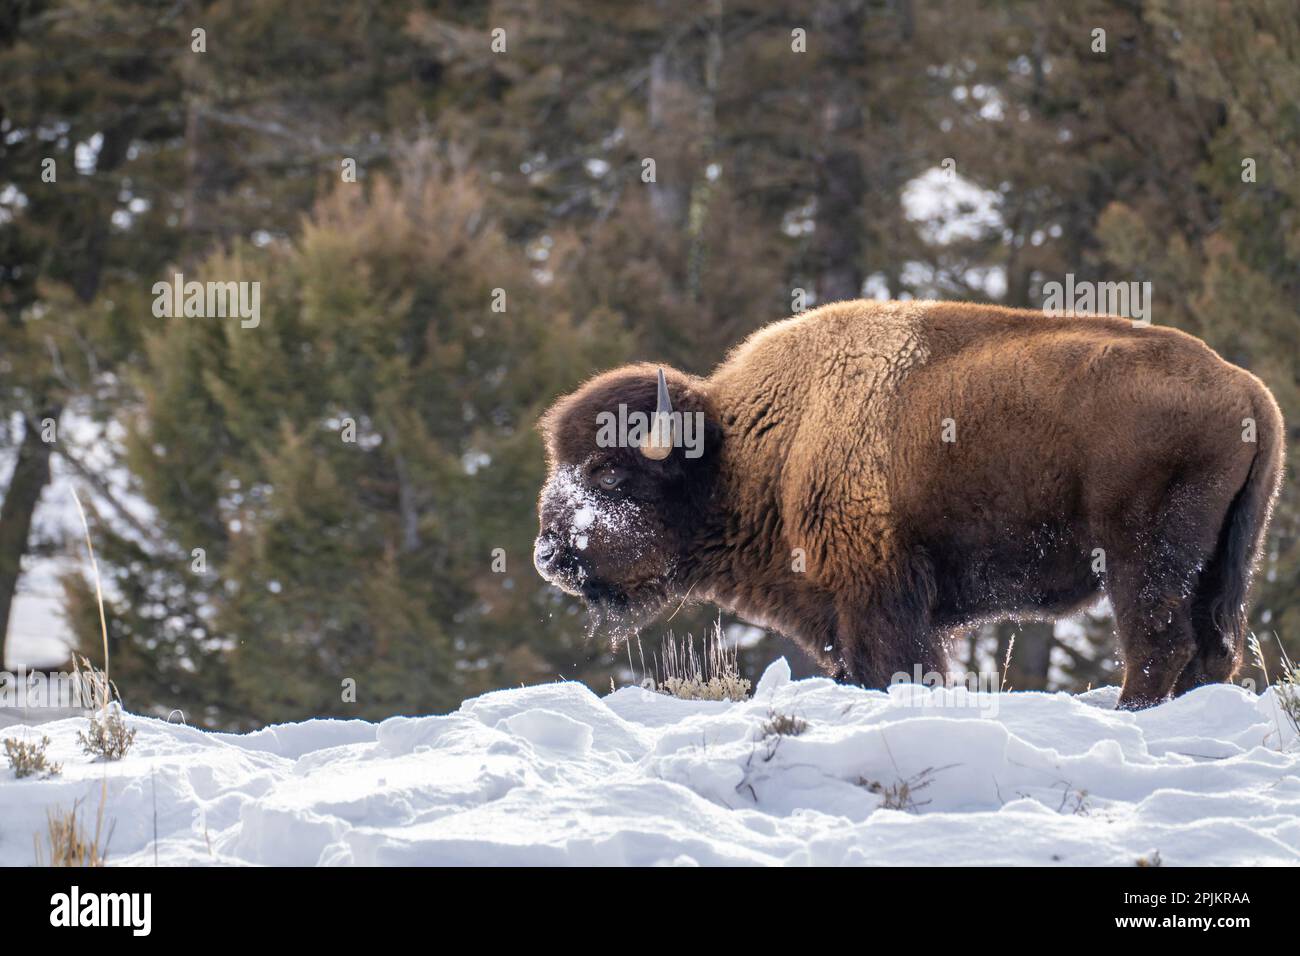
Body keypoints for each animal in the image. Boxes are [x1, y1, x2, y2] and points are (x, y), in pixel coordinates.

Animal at [534, 300, 1284, 708]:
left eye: (608, 471)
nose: (549, 554)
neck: (756, 445)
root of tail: (1248, 389)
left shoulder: (879, 596)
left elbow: (890, 666)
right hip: (1224, 562)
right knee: (1210, 650)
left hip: (1142, 562)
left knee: (1160, 643)